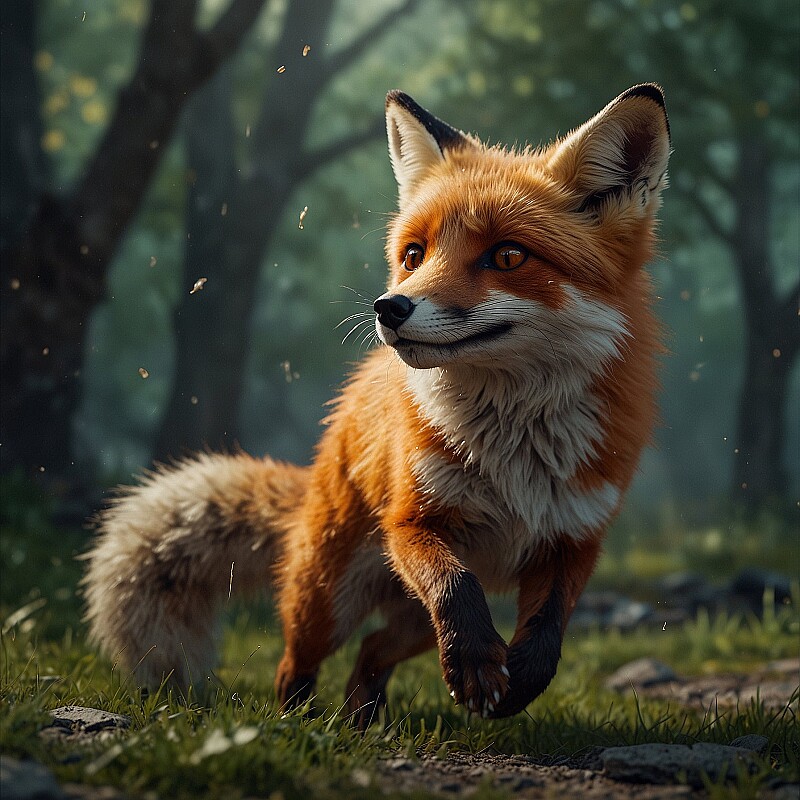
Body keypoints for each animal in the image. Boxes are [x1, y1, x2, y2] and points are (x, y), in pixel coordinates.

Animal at [83, 84, 670, 726]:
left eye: (509, 257)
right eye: (414, 254)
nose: (389, 307)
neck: (516, 450)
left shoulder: (574, 541)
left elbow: (545, 634)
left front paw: (515, 685)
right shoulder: (412, 522)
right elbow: (455, 588)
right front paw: (476, 668)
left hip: (411, 625)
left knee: (372, 650)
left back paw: (364, 719)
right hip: (328, 599)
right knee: (297, 661)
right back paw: (302, 721)